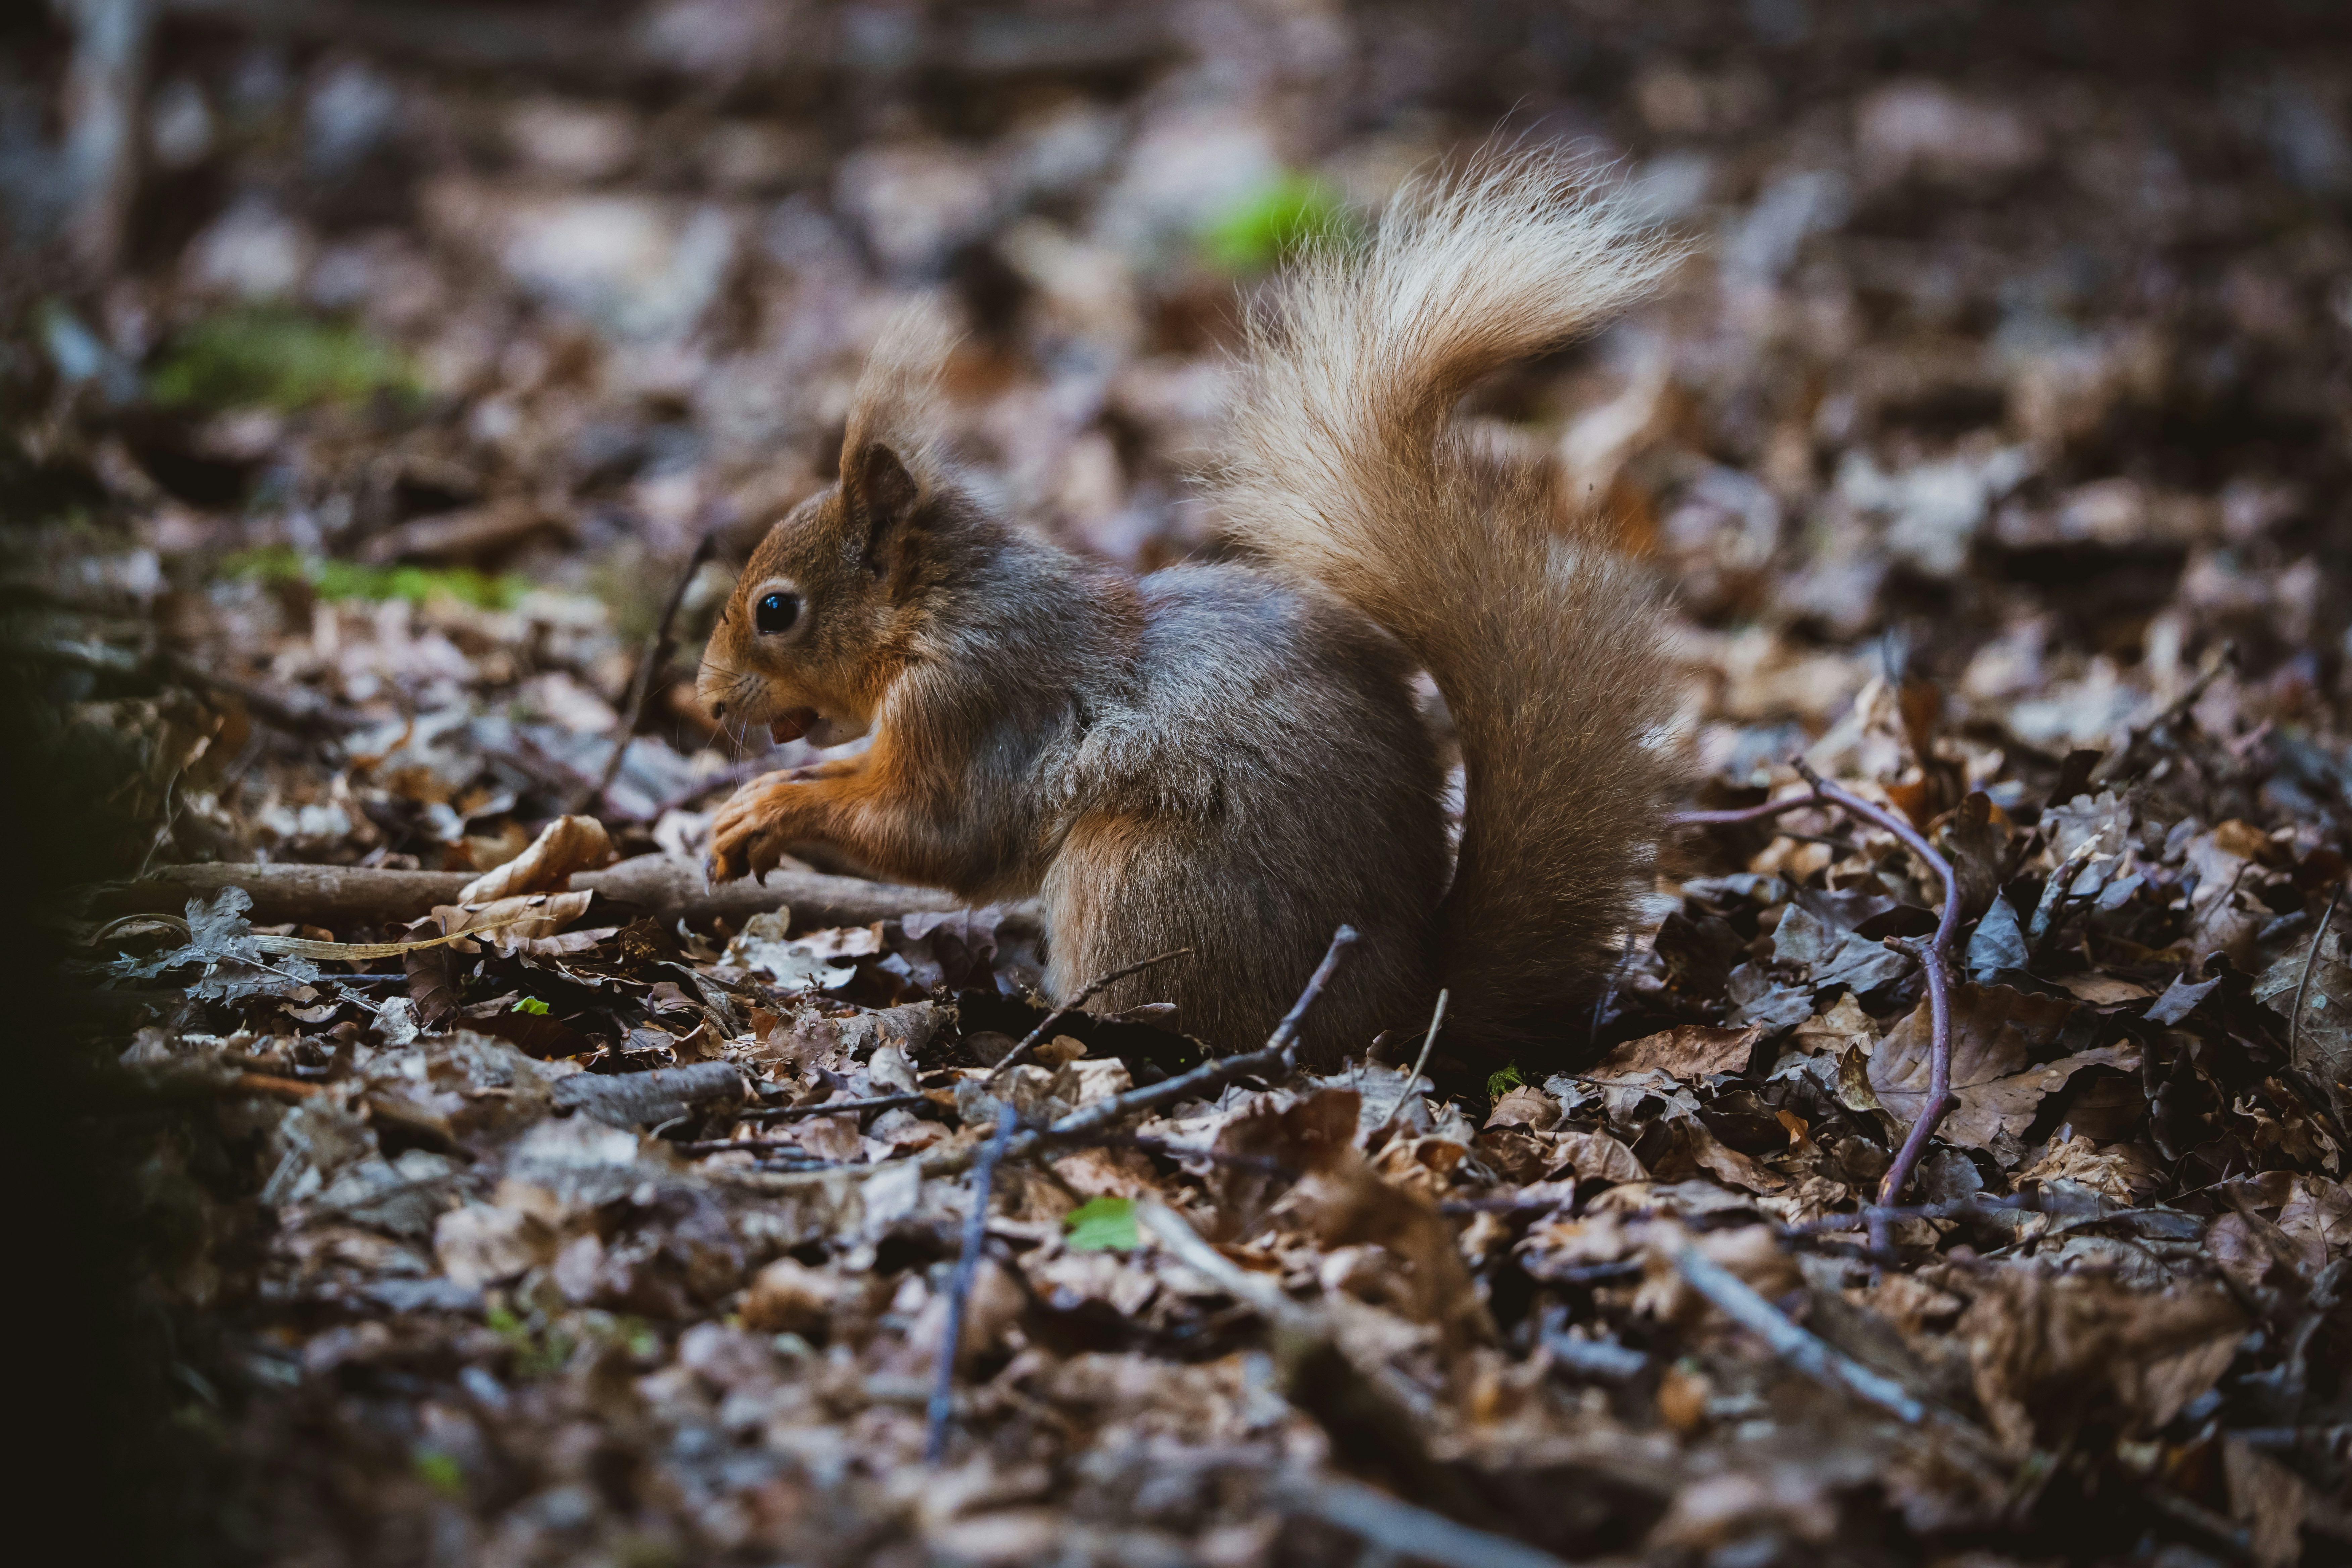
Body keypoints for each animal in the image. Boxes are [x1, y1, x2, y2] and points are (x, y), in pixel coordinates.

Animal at [695, 152, 1682, 1072]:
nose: (705, 702)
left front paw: (778, 808)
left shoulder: (968, 706)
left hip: (1133, 877)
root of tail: (1401, 1007)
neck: (938, 612)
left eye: (777, 610)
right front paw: (760, 797)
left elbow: (941, 837)